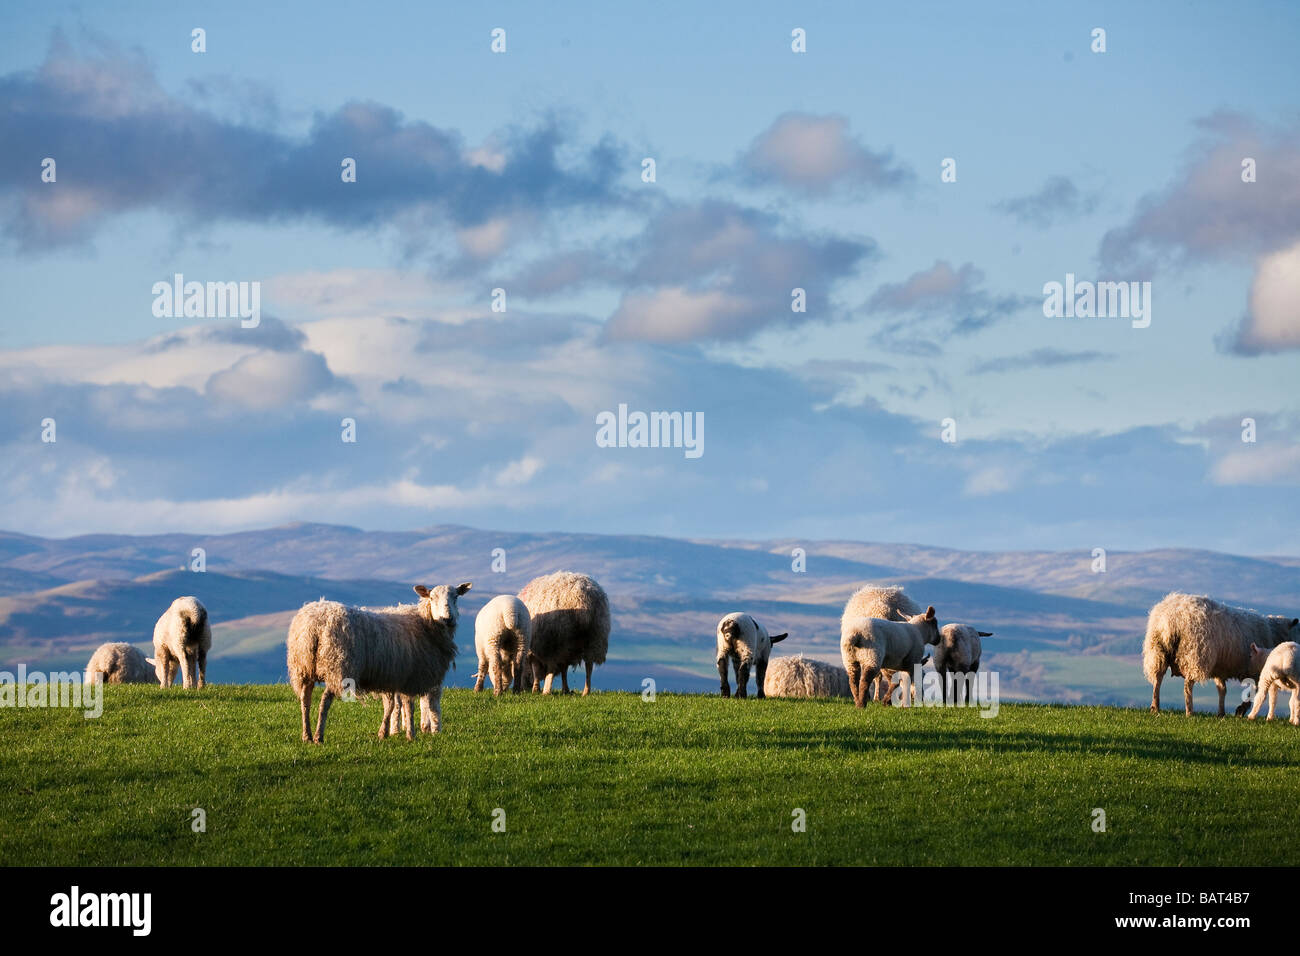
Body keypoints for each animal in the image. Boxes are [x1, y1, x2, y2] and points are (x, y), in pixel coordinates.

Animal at [286, 582, 469, 743]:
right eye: (432, 597)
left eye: (456, 597)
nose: (447, 618)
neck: (426, 624)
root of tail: (315, 625)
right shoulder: (410, 676)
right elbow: (408, 707)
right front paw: (411, 735)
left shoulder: (391, 676)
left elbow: (390, 705)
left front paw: (384, 733)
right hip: (337, 666)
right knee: (324, 701)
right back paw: (318, 736)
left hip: (303, 667)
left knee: (305, 700)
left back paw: (306, 735)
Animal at [1143, 592, 1299, 716]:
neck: (1274, 632)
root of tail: (1171, 620)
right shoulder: (1255, 670)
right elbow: (1253, 691)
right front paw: (1240, 710)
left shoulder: (1220, 668)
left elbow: (1222, 690)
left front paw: (1221, 713)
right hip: (1195, 655)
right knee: (1188, 686)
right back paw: (1189, 711)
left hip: (1157, 652)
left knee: (1158, 679)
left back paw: (1155, 707)